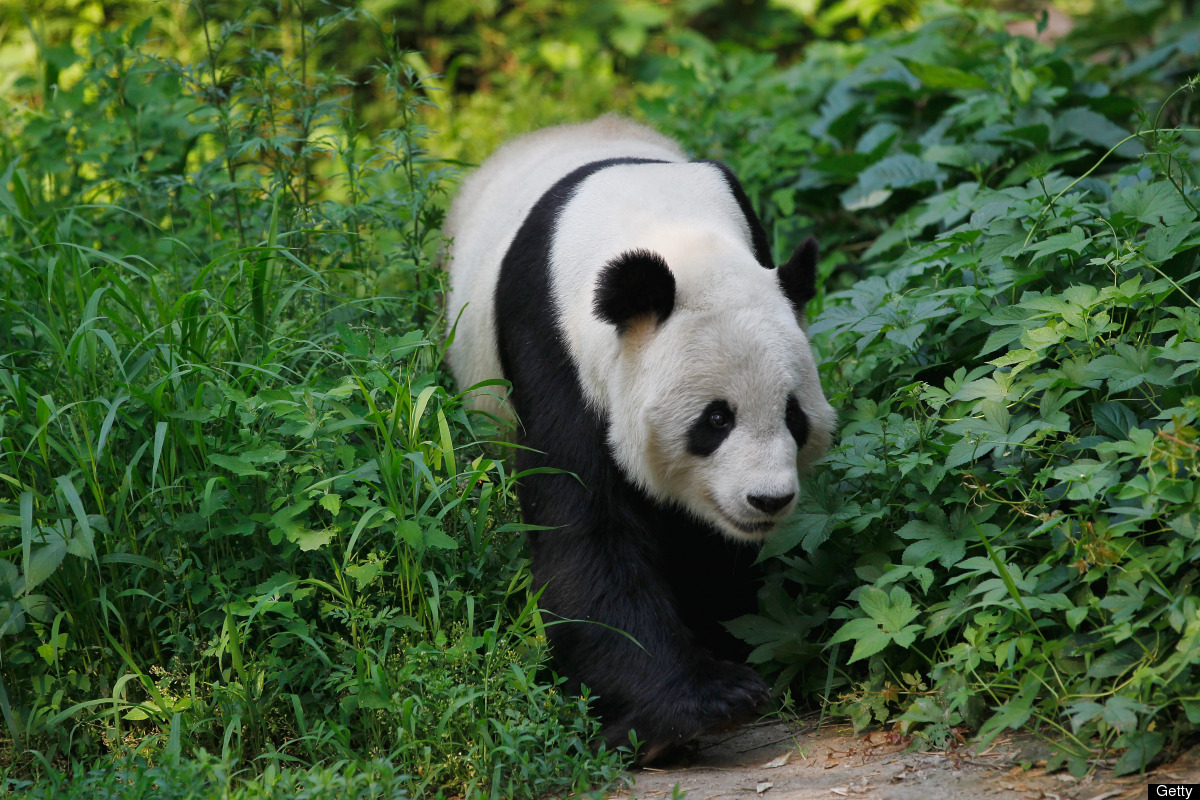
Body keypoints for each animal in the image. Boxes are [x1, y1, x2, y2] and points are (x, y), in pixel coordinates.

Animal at [443, 115, 836, 762]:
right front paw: (700, 705)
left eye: (793, 416)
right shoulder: (552, 351)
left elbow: (707, 546)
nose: (768, 500)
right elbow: (588, 537)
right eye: (716, 420)